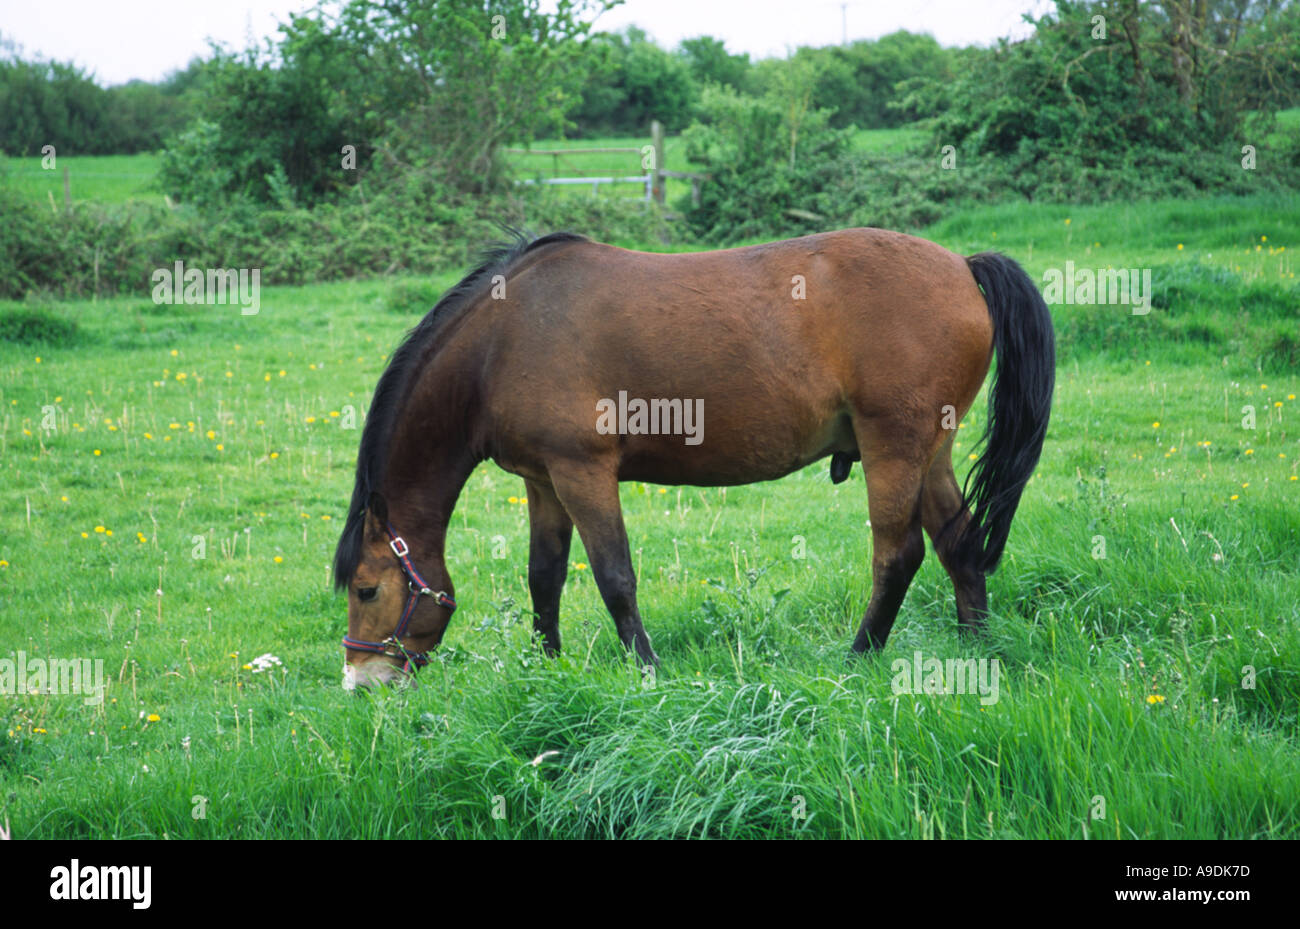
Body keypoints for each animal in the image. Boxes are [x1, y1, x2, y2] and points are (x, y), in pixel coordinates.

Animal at [333, 227, 1054, 689]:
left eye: (367, 588)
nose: (360, 679)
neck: (501, 341)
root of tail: (962, 266)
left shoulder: (583, 472)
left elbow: (614, 577)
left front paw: (647, 670)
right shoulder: (544, 480)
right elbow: (545, 577)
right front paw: (547, 666)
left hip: (893, 448)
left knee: (897, 556)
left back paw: (860, 657)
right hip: (930, 452)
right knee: (960, 546)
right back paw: (974, 650)